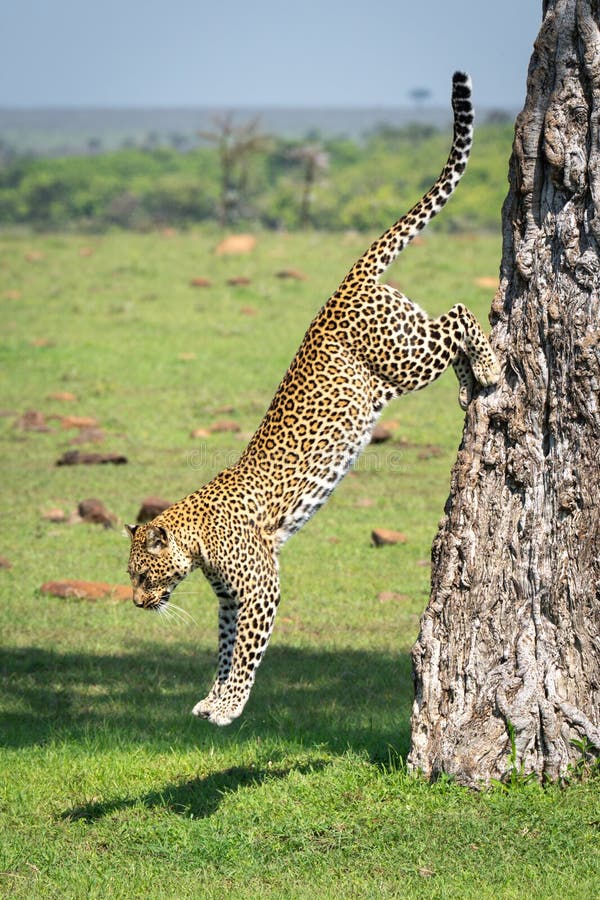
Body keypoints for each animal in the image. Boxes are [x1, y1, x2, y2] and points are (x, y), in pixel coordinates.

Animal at [126, 72, 501, 726]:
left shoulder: (260, 587)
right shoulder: (230, 600)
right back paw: (467, 386)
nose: (137, 604)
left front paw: (229, 706)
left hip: (403, 361)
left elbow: (246, 653)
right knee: (450, 321)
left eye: (145, 573)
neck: (197, 538)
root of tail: (342, 285)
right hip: (406, 349)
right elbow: (224, 646)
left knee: (459, 313)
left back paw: (488, 365)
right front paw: (211, 698)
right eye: (128, 575)